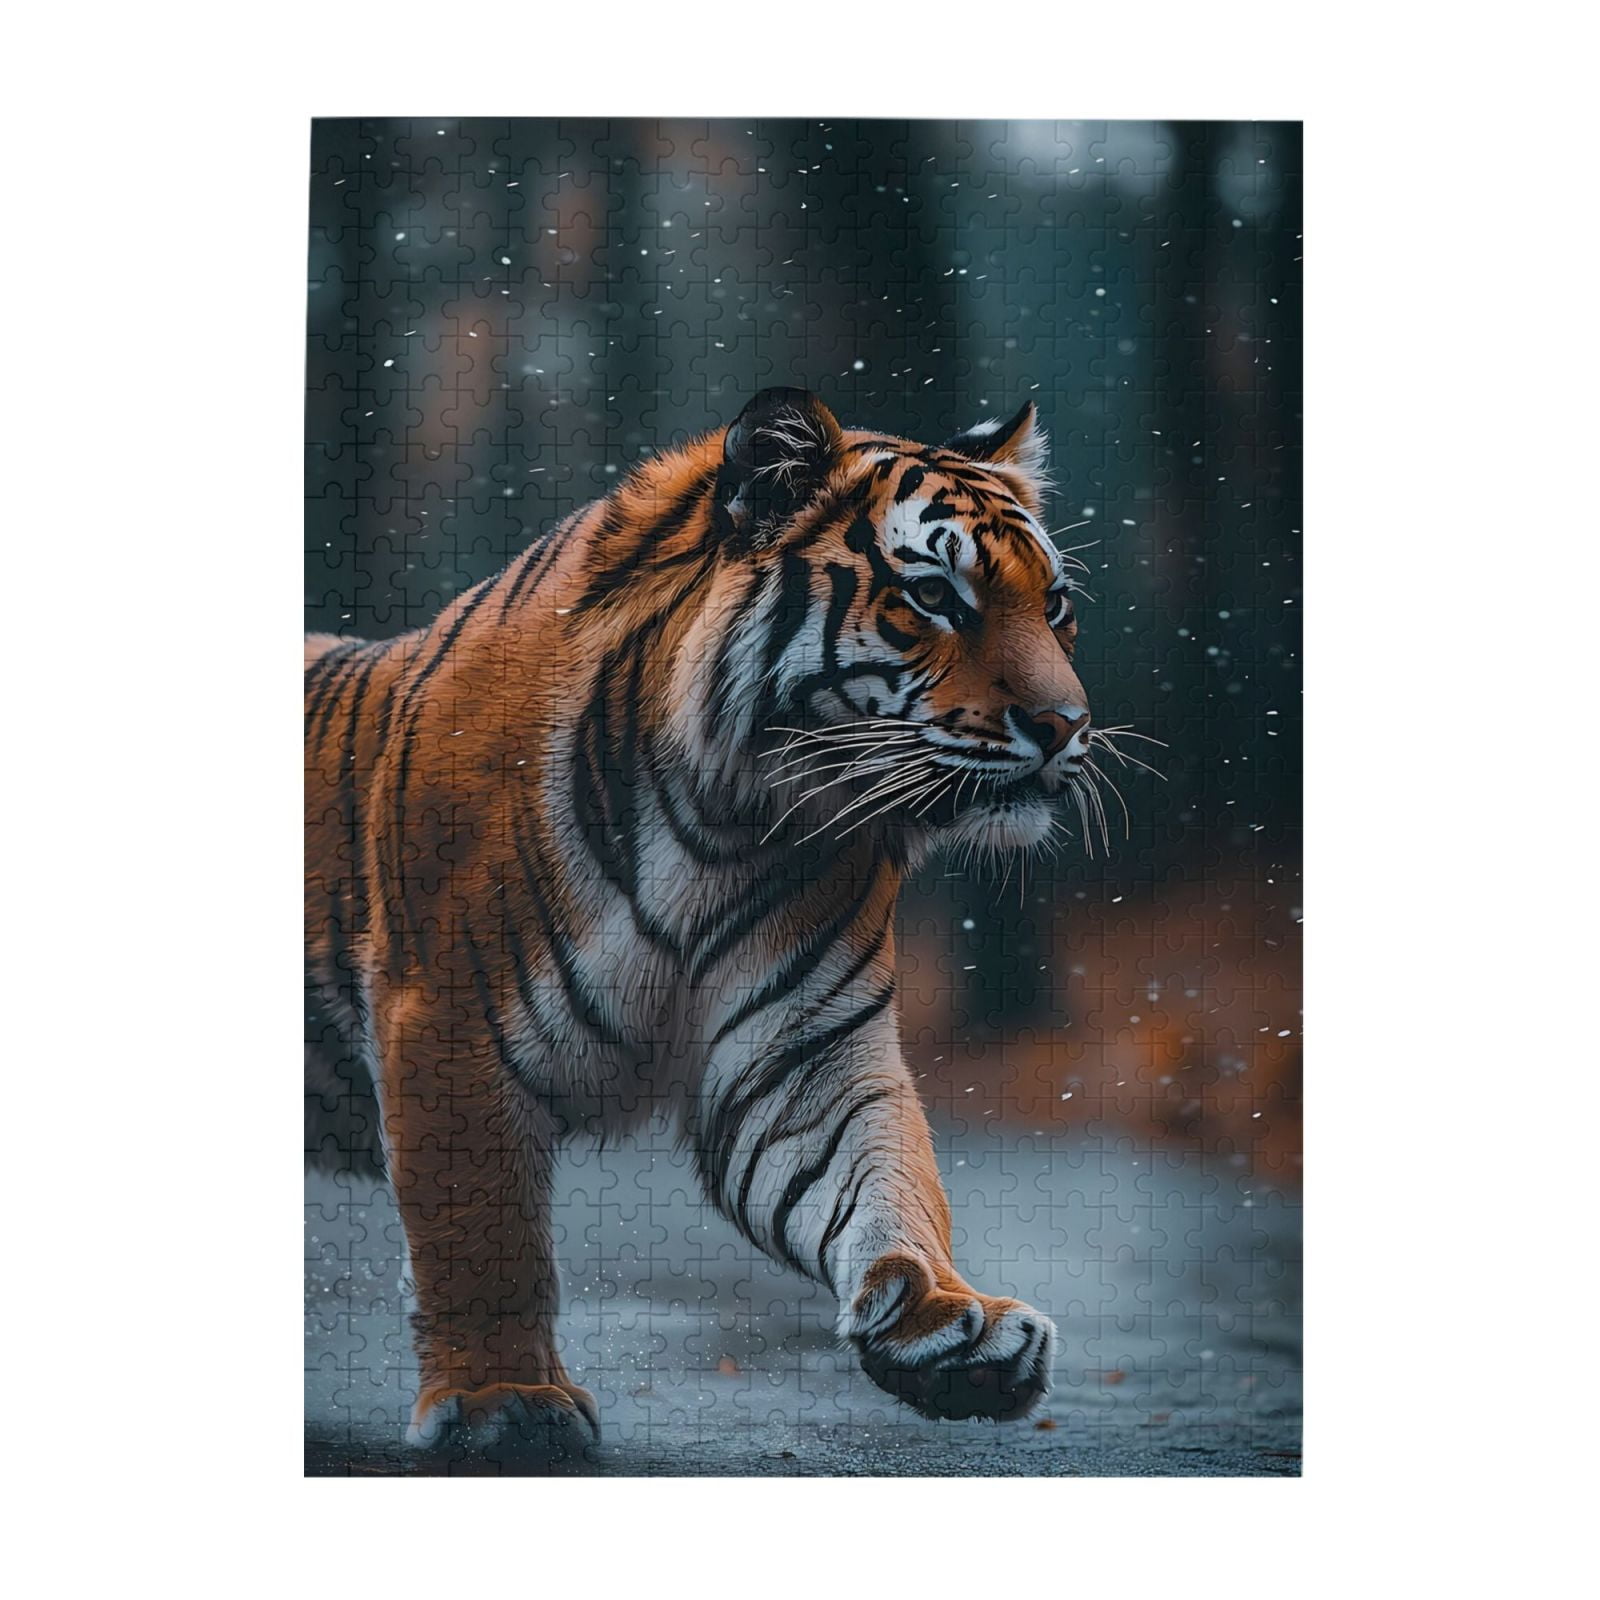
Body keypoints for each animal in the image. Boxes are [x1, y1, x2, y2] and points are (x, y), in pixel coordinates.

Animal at [305, 387, 1095, 1457]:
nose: (1067, 727)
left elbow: (882, 1178)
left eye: (1053, 605)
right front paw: (502, 1401)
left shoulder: (799, 1051)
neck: (732, 817)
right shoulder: (445, 1020)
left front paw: (947, 1328)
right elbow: (484, 1235)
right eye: (935, 597)